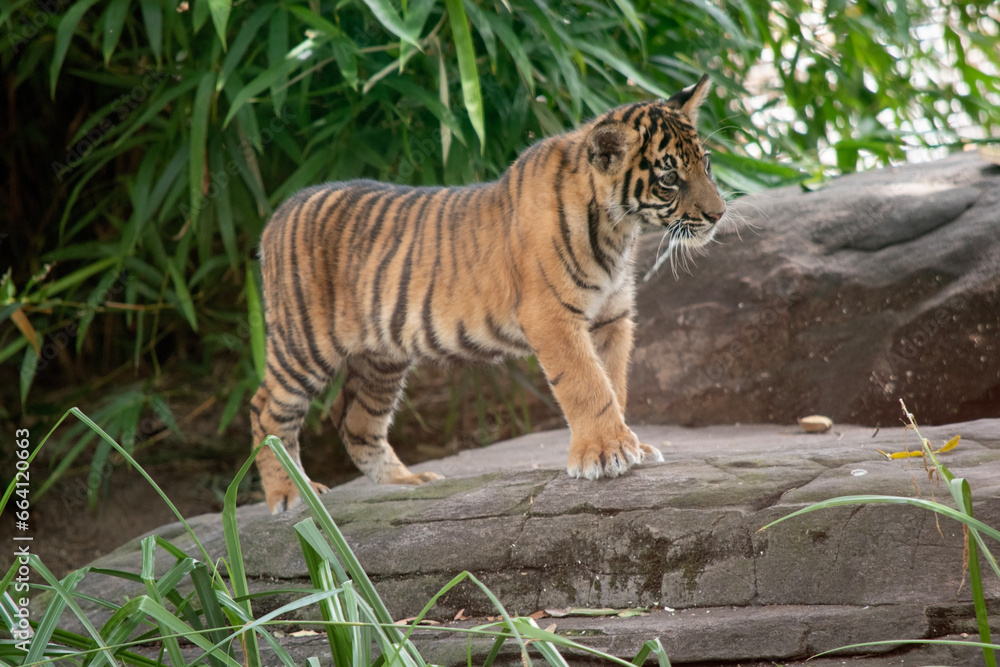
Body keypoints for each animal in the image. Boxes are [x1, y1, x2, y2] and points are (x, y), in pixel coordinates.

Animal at [250, 74, 727, 513]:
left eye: (705, 165)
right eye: (670, 178)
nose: (719, 214)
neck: (618, 228)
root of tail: (279, 211)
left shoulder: (612, 317)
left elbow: (615, 383)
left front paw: (630, 447)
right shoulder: (552, 316)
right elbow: (587, 383)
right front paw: (606, 452)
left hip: (380, 358)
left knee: (354, 418)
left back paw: (406, 483)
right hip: (304, 344)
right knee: (266, 409)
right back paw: (290, 494)